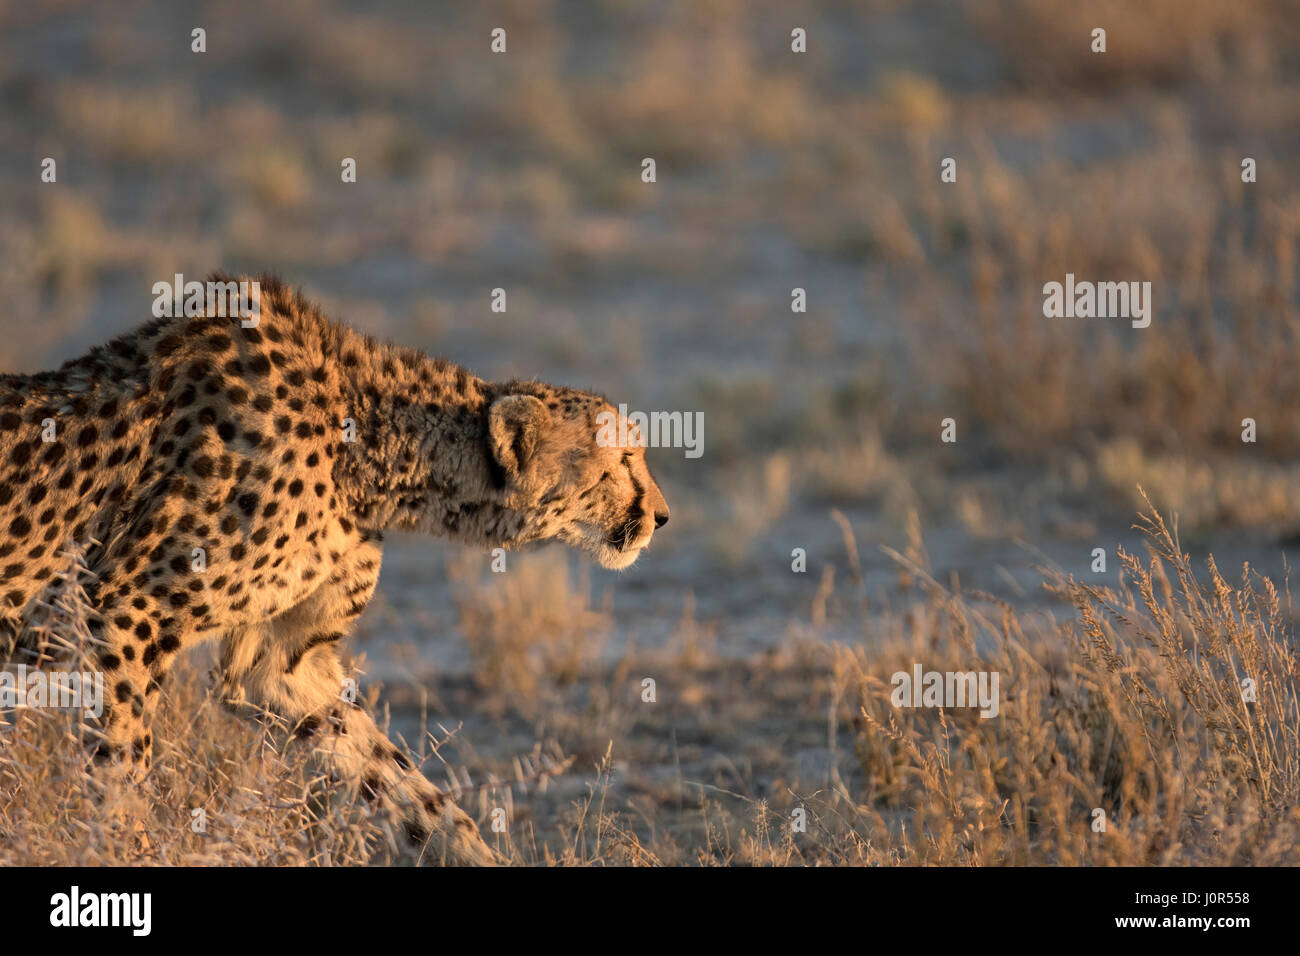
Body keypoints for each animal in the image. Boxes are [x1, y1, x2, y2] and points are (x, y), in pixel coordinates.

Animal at [0, 274, 669, 865]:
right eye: (622, 460)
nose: (662, 517)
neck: (369, 445)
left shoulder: (280, 663)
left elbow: (399, 780)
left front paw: (472, 853)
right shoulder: (120, 613)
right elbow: (121, 772)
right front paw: (124, 848)